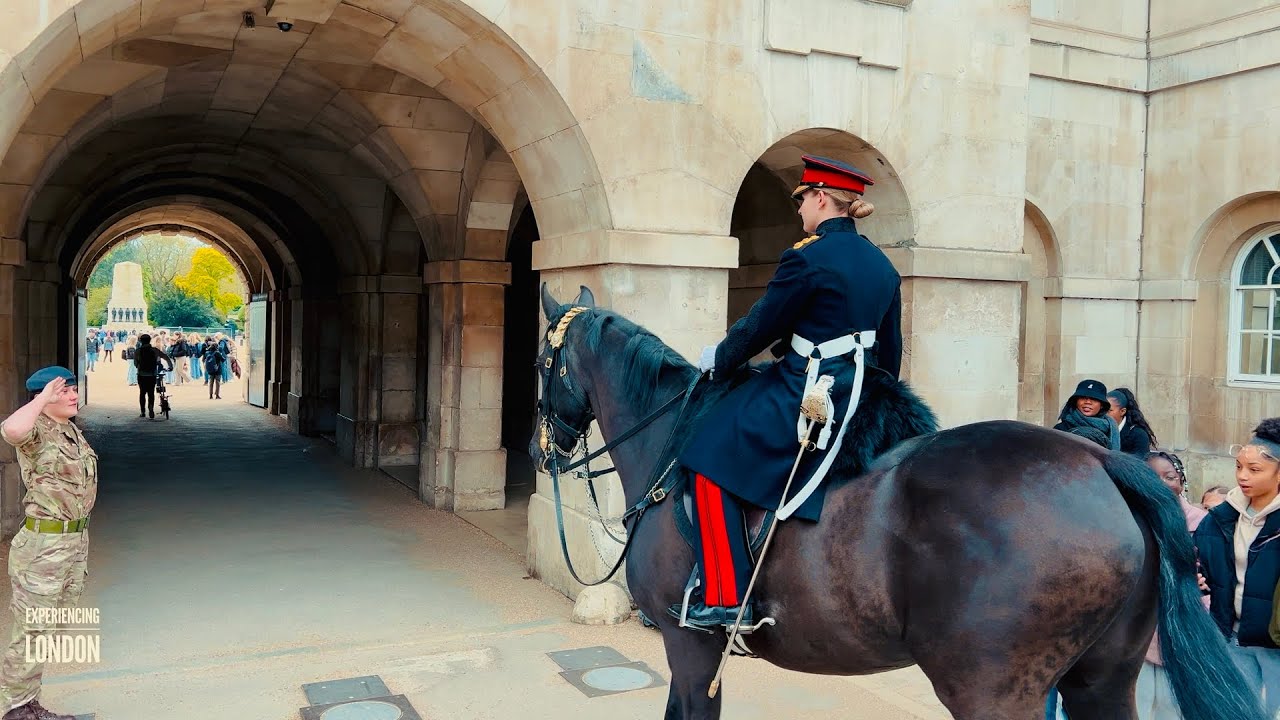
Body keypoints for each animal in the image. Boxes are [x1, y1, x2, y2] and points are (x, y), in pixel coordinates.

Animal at [531, 285, 1263, 720]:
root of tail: (1101, 459)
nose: (543, 452)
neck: (671, 440)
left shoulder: (689, 644)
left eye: (541, 363)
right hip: (1102, 678)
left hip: (995, 690)